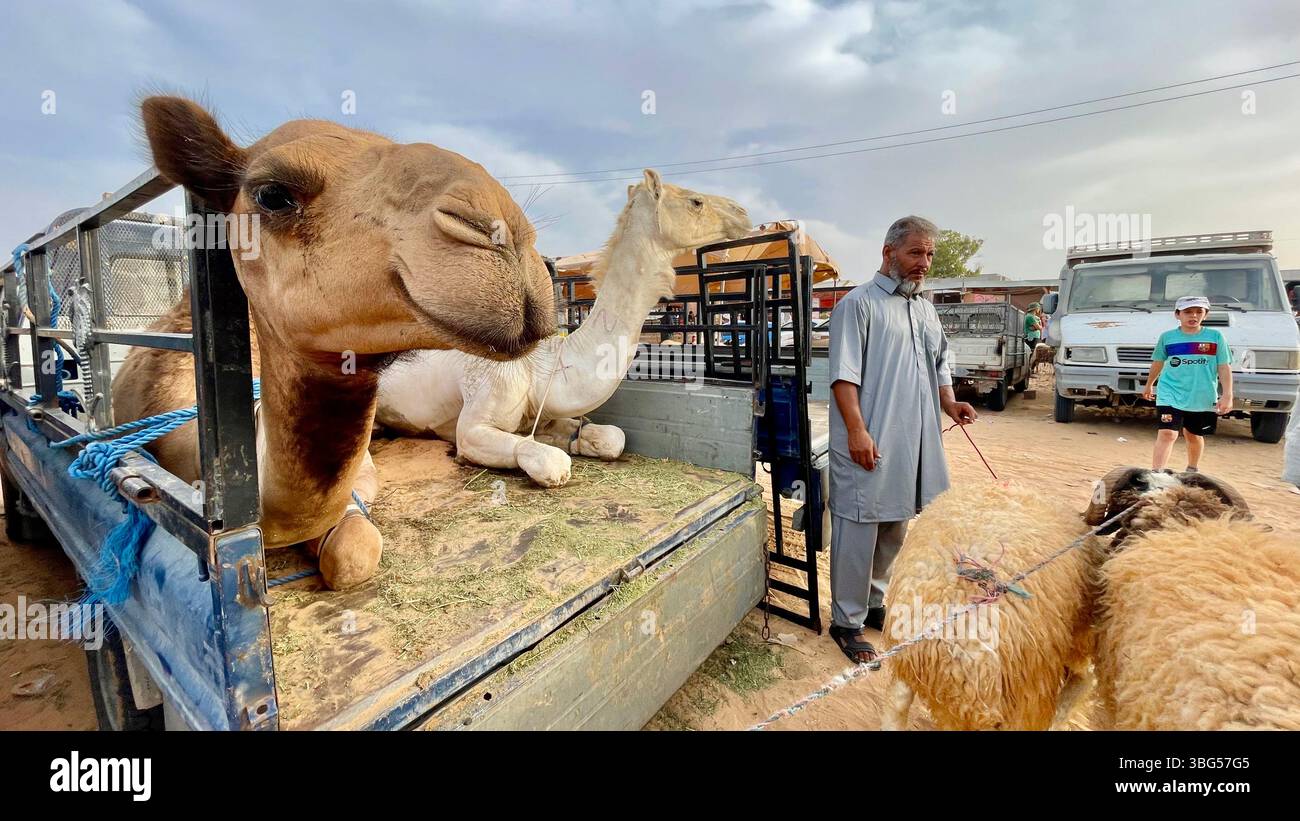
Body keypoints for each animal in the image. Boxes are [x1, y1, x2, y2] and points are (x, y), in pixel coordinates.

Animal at [375, 169, 750, 487]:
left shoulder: (544, 414)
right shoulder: (475, 421)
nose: (743, 213)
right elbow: (550, 461)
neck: (540, 368)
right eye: (695, 201)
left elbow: (612, 437)